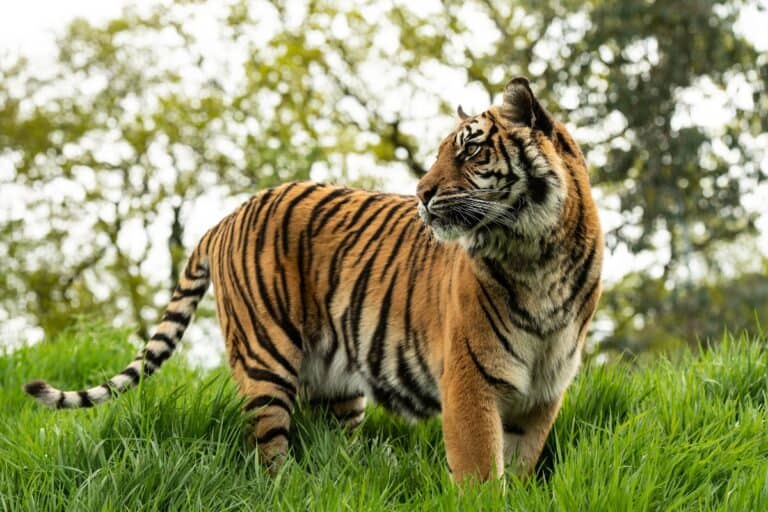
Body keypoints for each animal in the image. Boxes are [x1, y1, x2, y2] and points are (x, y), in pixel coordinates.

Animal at [24, 76, 603, 483]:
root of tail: (226, 216)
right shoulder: (470, 380)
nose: (422, 193)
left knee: (328, 452)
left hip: (337, 385)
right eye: (443, 152)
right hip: (264, 360)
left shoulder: (542, 394)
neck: (538, 257)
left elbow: (520, 468)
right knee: (271, 455)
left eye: (472, 151)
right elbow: (481, 472)